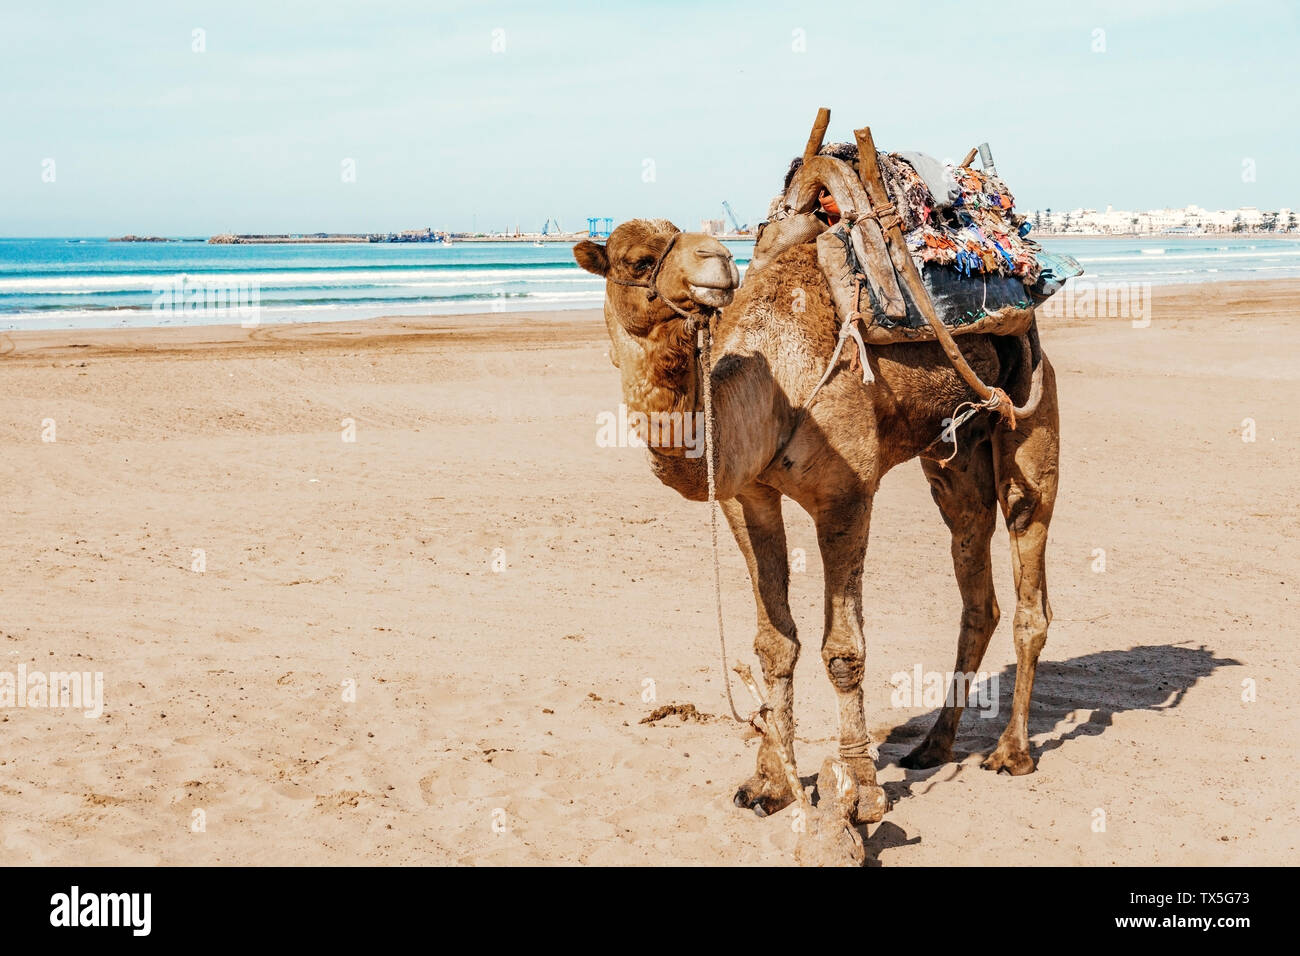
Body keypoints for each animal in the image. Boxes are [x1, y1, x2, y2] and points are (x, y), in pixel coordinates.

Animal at [574, 218, 1059, 821]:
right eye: (636, 260)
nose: (718, 259)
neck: (774, 388)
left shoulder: (846, 495)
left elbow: (843, 650)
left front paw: (860, 790)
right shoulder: (747, 496)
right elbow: (774, 643)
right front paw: (769, 783)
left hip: (1030, 403)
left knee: (1027, 553)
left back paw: (1011, 751)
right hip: (953, 453)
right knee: (975, 576)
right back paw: (932, 746)